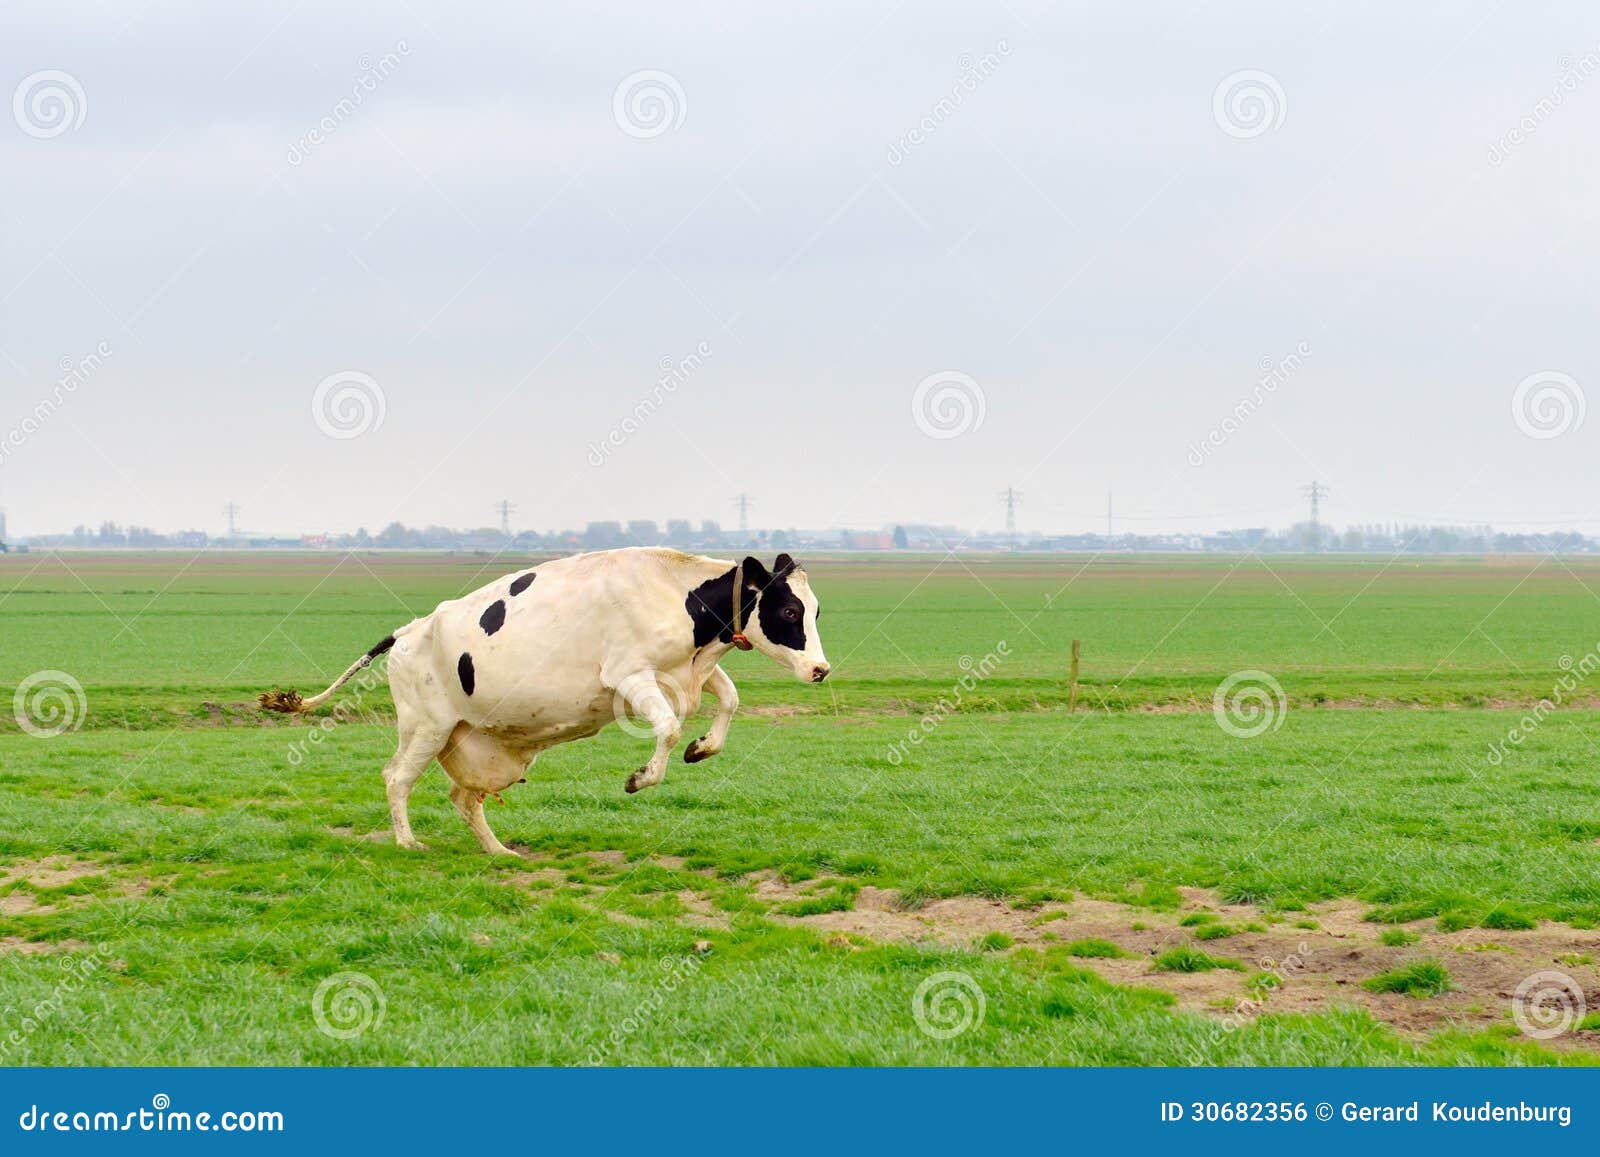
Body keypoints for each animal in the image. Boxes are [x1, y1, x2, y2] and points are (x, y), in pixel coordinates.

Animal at [259, 548, 829, 855]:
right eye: (789, 611)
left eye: (816, 610)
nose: (820, 669)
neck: (675, 592)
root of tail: (408, 631)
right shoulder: (630, 675)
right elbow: (667, 727)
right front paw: (640, 777)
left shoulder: (688, 670)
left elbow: (729, 700)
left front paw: (702, 747)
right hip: (426, 728)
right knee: (396, 778)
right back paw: (407, 843)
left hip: (474, 741)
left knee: (464, 798)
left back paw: (497, 851)